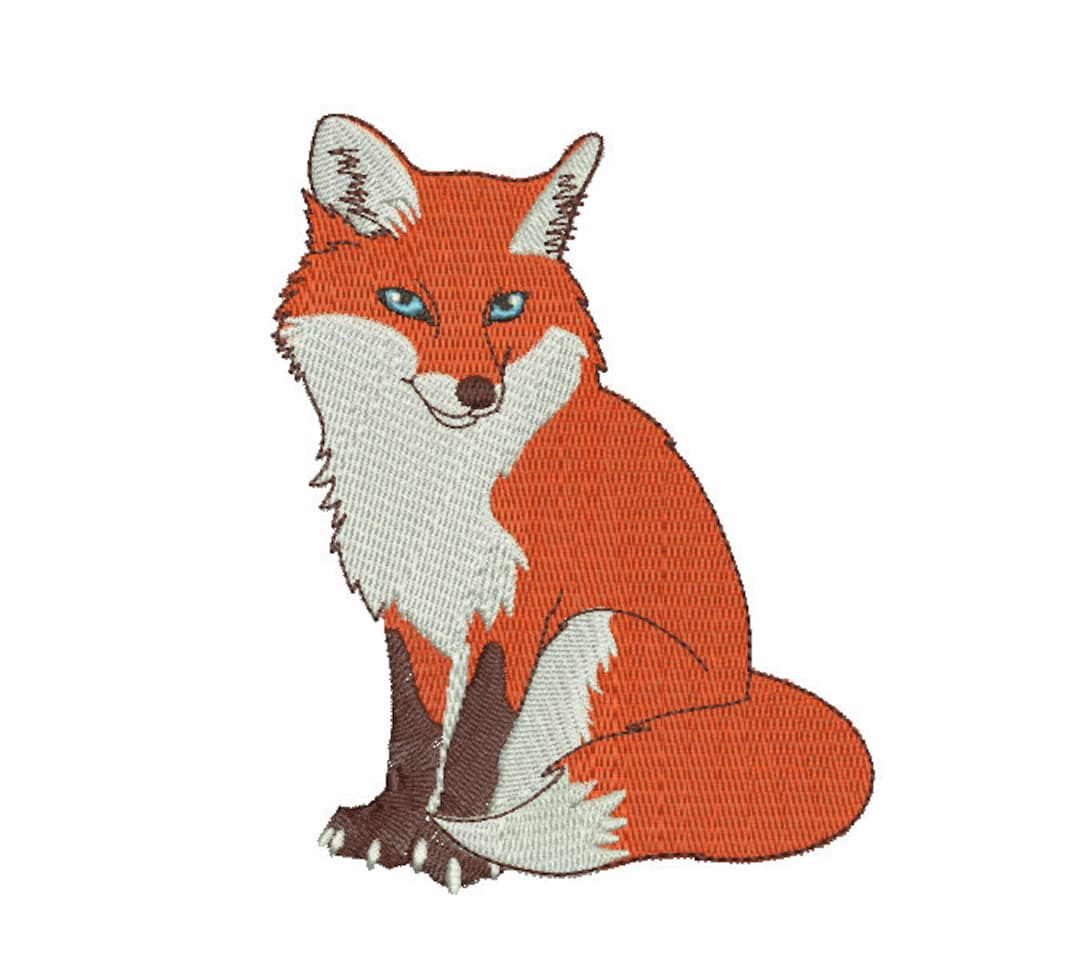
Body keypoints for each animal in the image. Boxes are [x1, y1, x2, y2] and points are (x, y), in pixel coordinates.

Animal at [275, 115, 873, 893]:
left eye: (506, 306)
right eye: (405, 302)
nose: (478, 390)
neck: (438, 485)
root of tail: (745, 689)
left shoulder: (523, 605)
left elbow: (475, 745)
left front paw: (448, 845)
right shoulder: (412, 609)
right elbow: (414, 738)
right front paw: (395, 825)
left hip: (595, 634)